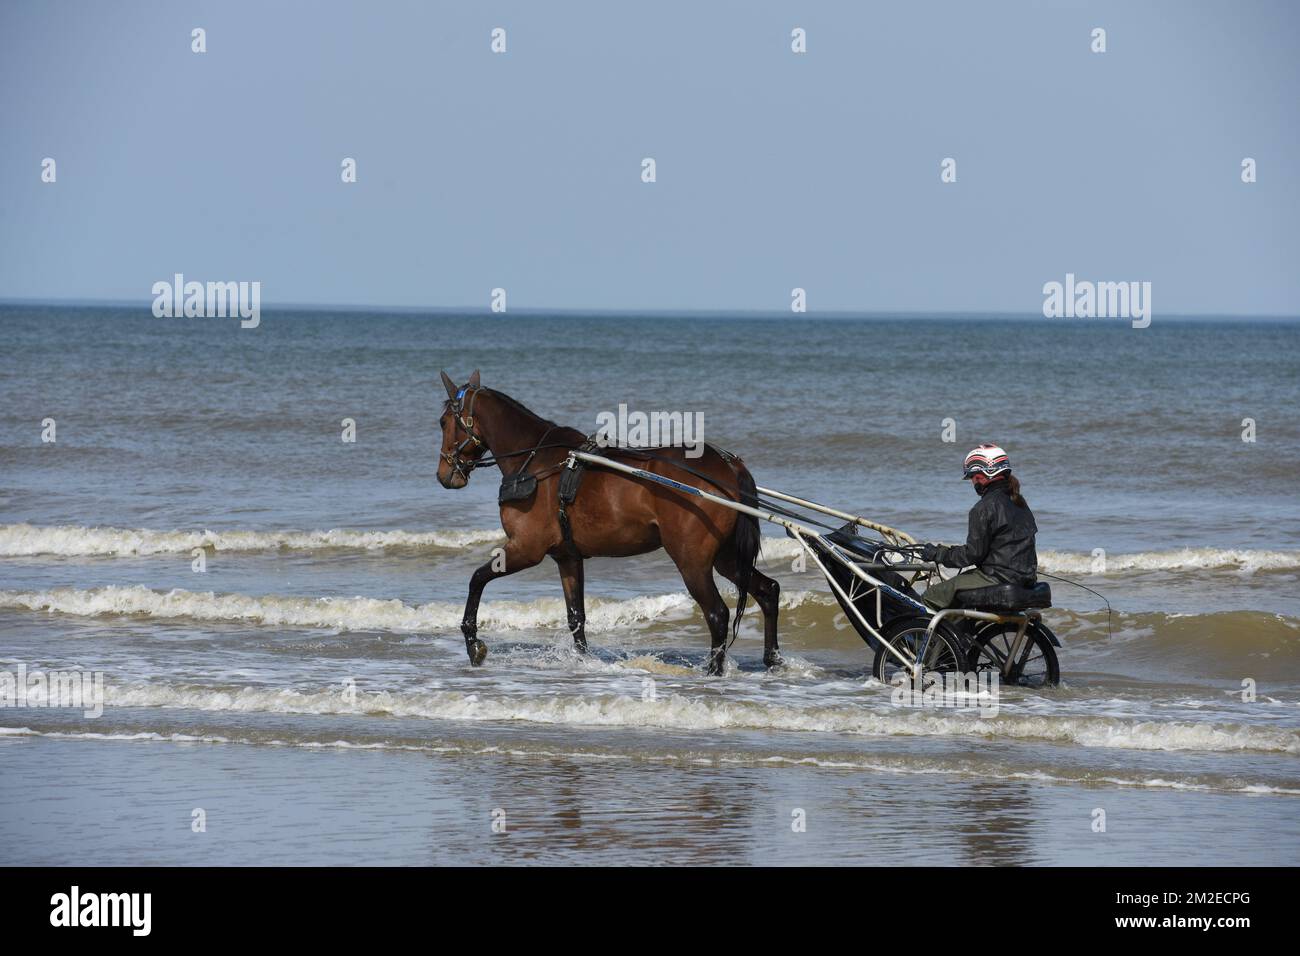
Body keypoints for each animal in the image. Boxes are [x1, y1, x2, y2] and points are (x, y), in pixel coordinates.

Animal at [435, 370, 782, 675]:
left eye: (443, 422)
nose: (444, 475)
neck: (536, 461)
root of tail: (729, 465)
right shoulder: (567, 557)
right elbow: (576, 616)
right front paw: (583, 662)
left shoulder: (525, 549)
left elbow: (477, 579)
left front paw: (473, 643)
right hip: (727, 558)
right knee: (768, 591)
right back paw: (772, 660)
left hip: (691, 561)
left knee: (717, 613)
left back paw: (714, 670)